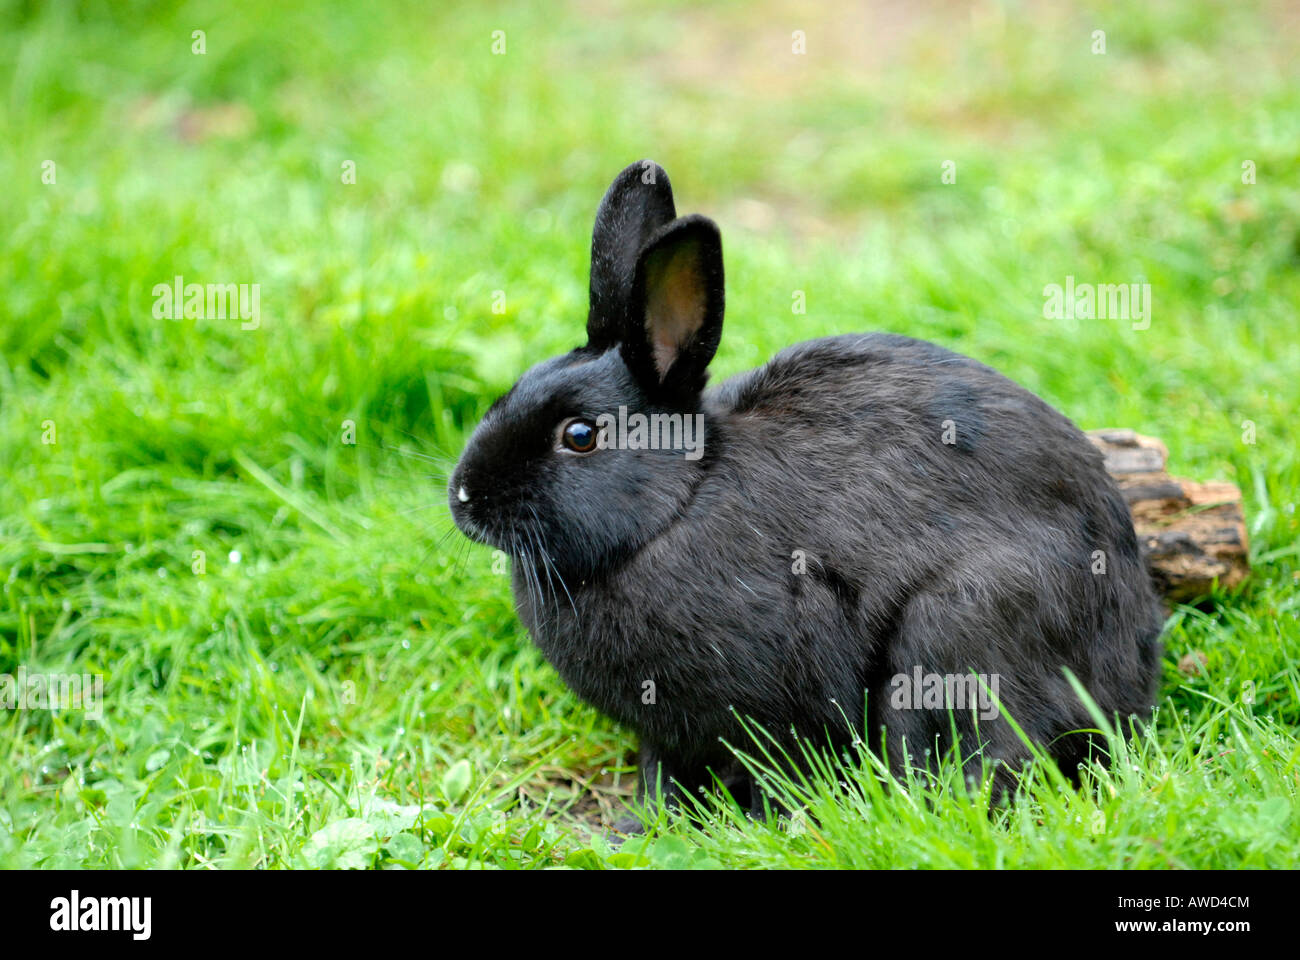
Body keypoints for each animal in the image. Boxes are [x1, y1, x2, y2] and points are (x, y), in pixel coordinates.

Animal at [449, 159, 1164, 830]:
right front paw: (642, 826)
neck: (674, 507)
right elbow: (662, 773)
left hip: (955, 632)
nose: (464, 498)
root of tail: (1131, 670)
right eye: (512, 388)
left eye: (580, 435)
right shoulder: (663, 733)